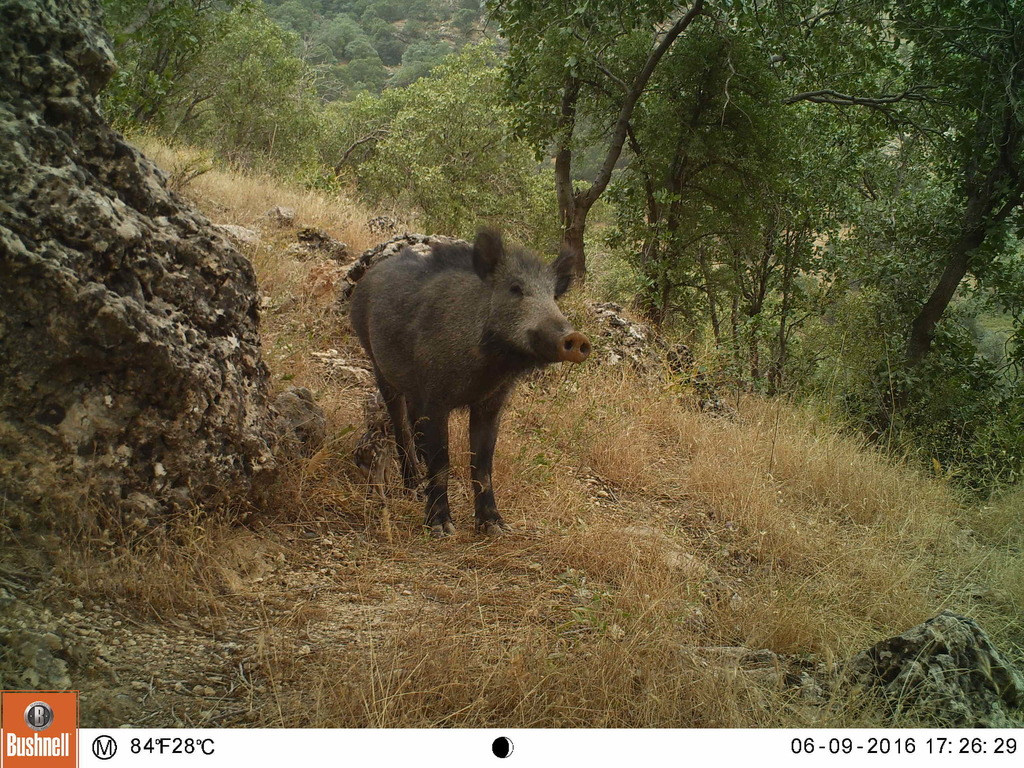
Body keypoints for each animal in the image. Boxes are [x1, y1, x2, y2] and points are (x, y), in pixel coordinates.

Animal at [349, 229, 590, 536]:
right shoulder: (435, 398)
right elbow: (442, 461)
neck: (488, 366)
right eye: (515, 288)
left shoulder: (491, 404)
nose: (576, 338)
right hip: (378, 364)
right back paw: (412, 488)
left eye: (554, 296)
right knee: (401, 427)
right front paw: (441, 528)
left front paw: (496, 527)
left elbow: (483, 465)